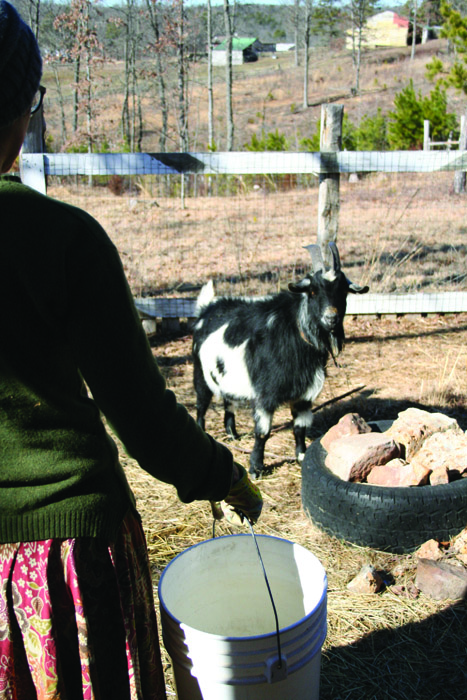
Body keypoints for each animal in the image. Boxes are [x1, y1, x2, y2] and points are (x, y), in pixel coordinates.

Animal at [192, 243, 369, 478]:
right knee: (201, 405)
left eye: (343, 291)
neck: (298, 334)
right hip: (200, 374)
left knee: (229, 403)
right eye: (313, 291)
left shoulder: (304, 395)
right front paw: (256, 468)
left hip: (226, 378)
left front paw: (301, 456)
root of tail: (205, 310)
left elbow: (300, 427)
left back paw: (233, 434)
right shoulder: (265, 395)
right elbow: (262, 432)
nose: (331, 318)